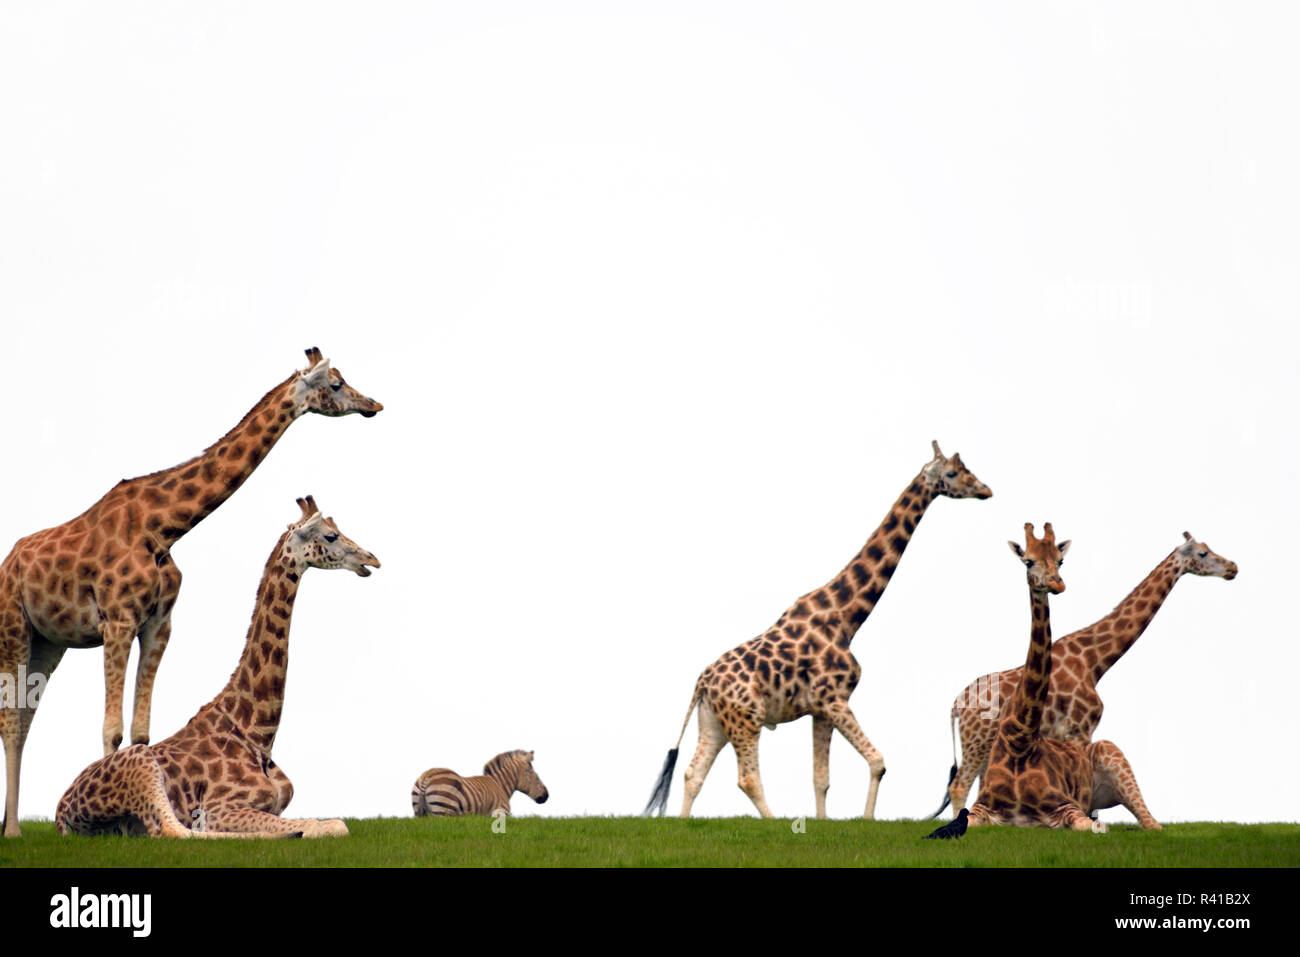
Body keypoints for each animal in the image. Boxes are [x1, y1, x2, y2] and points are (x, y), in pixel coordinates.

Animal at [55, 497, 378, 838]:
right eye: (330, 536)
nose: (372, 560)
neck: (258, 733)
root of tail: (61, 813)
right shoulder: (221, 807)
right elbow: (330, 825)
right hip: (141, 765)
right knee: (174, 830)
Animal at [411, 749, 549, 817]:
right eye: (537, 777)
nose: (546, 796)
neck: (500, 785)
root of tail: (427, 775)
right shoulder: (501, 810)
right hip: (443, 810)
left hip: (420, 813)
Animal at [644, 441, 992, 820]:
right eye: (953, 473)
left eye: (968, 469)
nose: (986, 490)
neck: (847, 616)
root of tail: (702, 684)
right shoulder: (834, 699)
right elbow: (877, 761)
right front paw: (867, 820)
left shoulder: (820, 709)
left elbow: (821, 778)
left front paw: (824, 821)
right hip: (747, 719)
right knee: (747, 778)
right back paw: (774, 823)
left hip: (714, 722)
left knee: (693, 773)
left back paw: (684, 821)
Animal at [935, 532, 1237, 828]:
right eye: (1203, 553)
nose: (1232, 568)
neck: (1093, 662)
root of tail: (956, 704)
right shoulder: (1079, 729)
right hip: (976, 744)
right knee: (959, 786)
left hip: (986, 748)